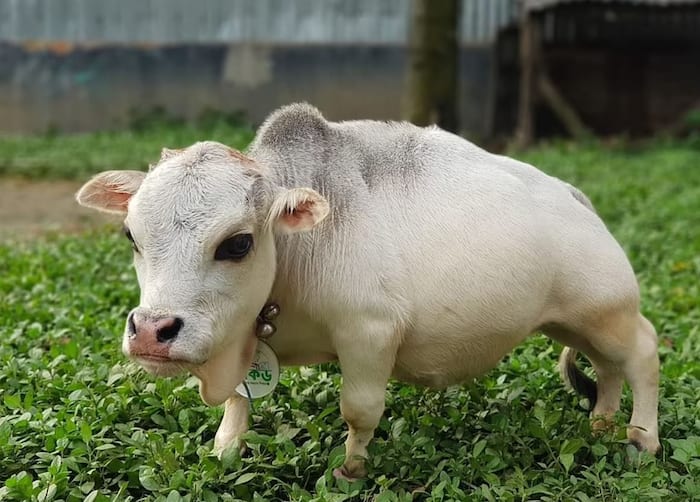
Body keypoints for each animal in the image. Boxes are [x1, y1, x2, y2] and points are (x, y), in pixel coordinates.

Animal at [76, 103, 660, 479]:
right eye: (131, 235)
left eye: (237, 243)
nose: (151, 331)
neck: (294, 256)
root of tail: (576, 199)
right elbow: (240, 401)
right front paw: (226, 448)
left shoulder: (370, 333)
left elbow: (359, 410)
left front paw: (351, 469)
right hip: (573, 324)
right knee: (608, 368)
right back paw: (601, 423)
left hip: (607, 312)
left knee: (644, 354)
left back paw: (642, 437)